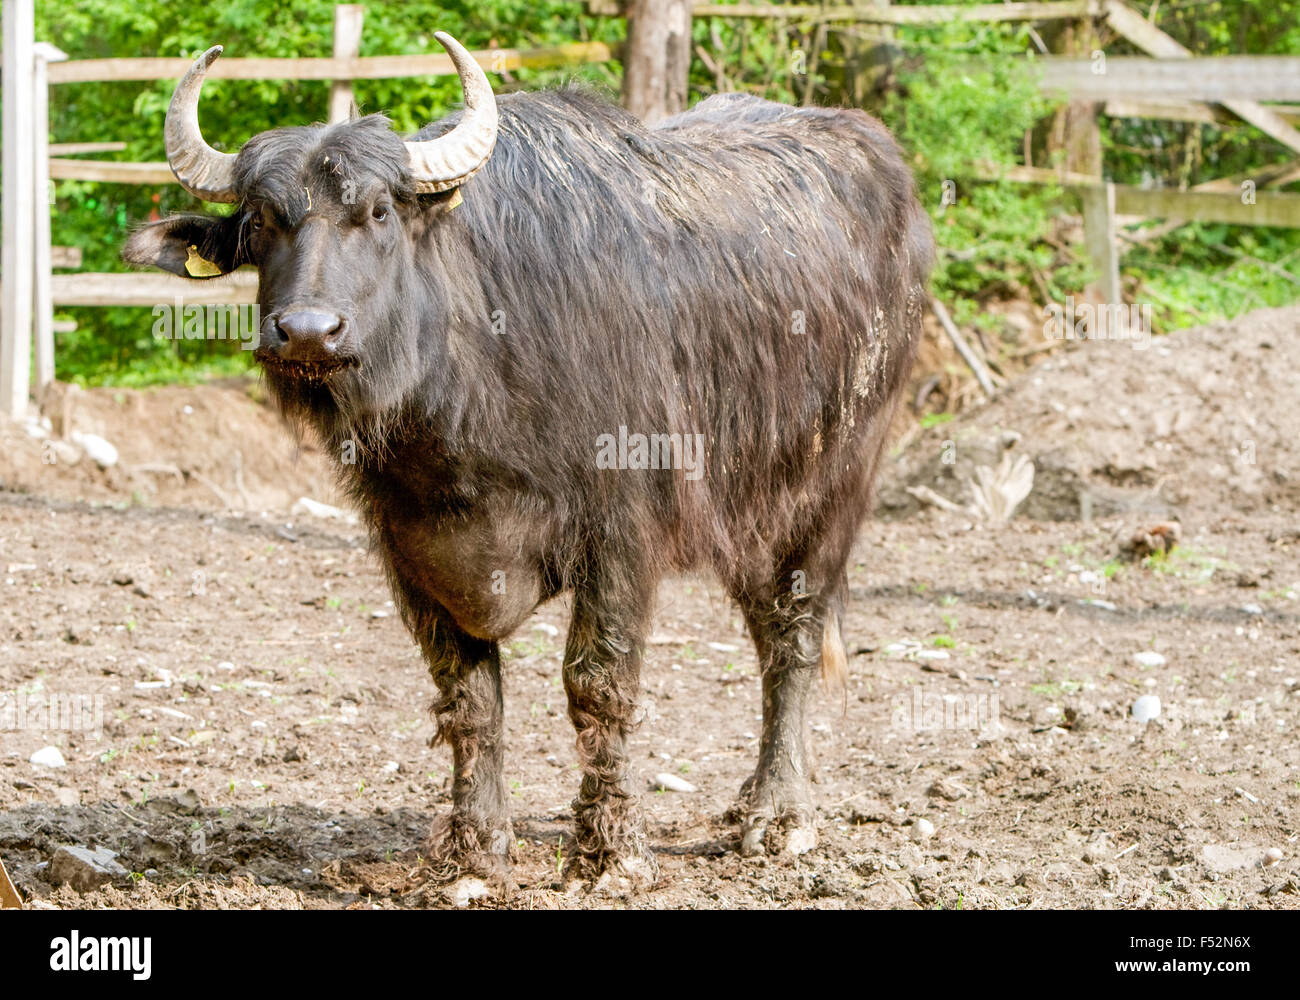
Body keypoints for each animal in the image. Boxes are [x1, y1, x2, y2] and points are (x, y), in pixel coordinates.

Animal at [124, 32, 933, 882]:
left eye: (376, 211)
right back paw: (750, 800)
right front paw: (476, 848)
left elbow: (599, 686)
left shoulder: (623, 535)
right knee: (765, 631)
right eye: (259, 223)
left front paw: (610, 849)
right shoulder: (410, 550)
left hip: (834, 489)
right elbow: (469, 700)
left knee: (794, 639)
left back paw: (780, 814)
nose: (308, 332)